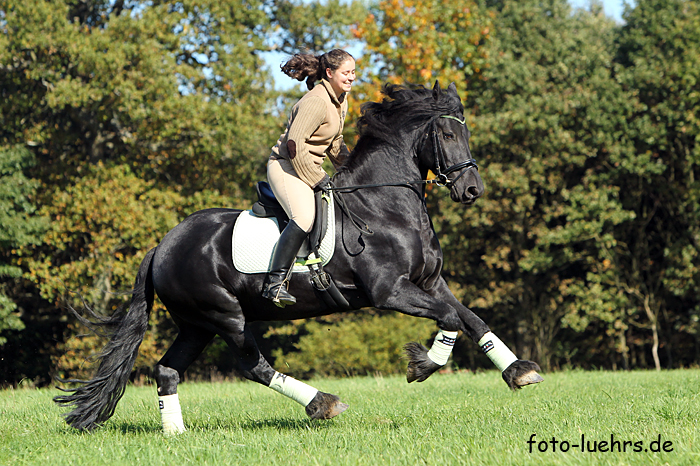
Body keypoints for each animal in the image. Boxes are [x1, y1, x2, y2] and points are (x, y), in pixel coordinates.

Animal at [54, 82, 543, 433]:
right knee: (252, 366)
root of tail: (163, 245)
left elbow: (470, 318)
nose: (472, 190)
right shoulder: (391, 292)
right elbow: (451, 318)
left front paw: (519, 371)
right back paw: (323, 403)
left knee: (168, 370)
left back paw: (176, 434)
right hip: (224, 316)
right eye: (446, 133)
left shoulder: (429, 282)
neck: (385, 203)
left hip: (196, 324)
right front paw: (422, 365)